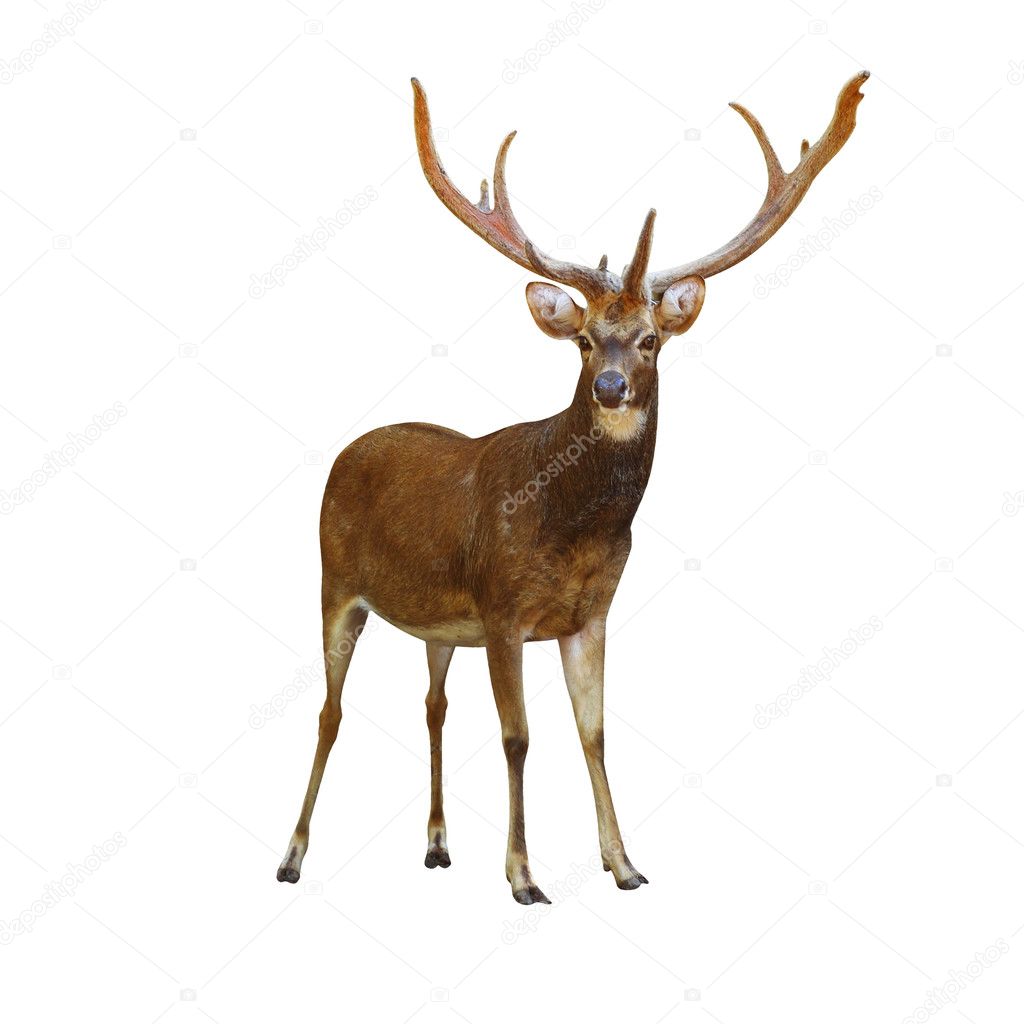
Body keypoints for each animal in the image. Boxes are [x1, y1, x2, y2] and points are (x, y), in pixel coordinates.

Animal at [277, 71, 869, 904]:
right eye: (585, 340)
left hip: (436, 625)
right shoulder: (502, 607)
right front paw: (524, 876)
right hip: (335, 583)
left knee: (432, 705)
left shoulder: (591, 614)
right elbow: (519, 737)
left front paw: (624, 863)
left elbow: (594, 731)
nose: (612, 385)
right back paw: (293, 855)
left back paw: (436, 844)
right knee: (329, 712)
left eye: (651, 339)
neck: (573, 528)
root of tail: (346, 449)